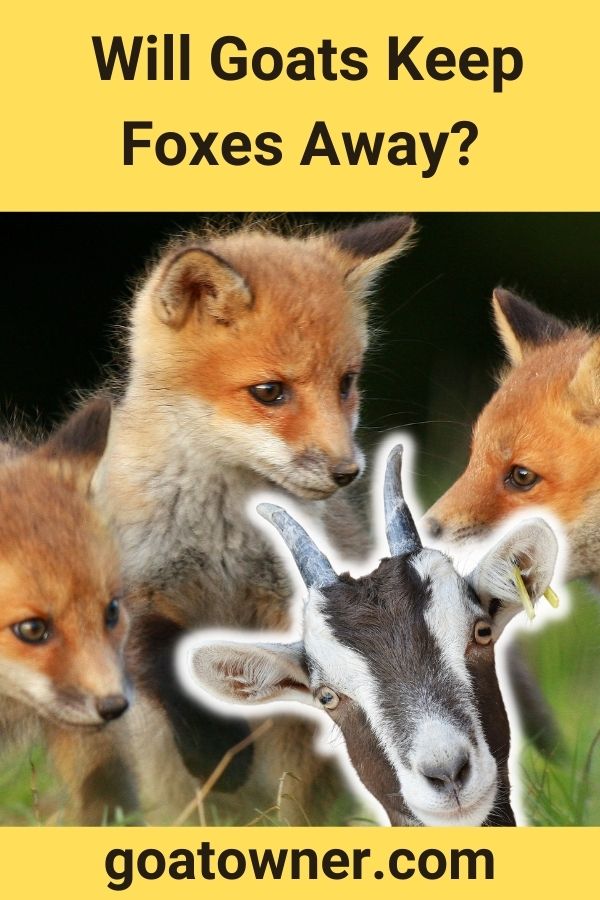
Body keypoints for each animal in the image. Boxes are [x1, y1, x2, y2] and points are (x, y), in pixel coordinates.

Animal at [92, 215, 417, 822]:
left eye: (346, 382)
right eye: (269, 391)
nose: (347, 472)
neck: (223, 535)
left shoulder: (282, 603)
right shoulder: (140, 588)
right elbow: (165, 665)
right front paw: (213, 753)